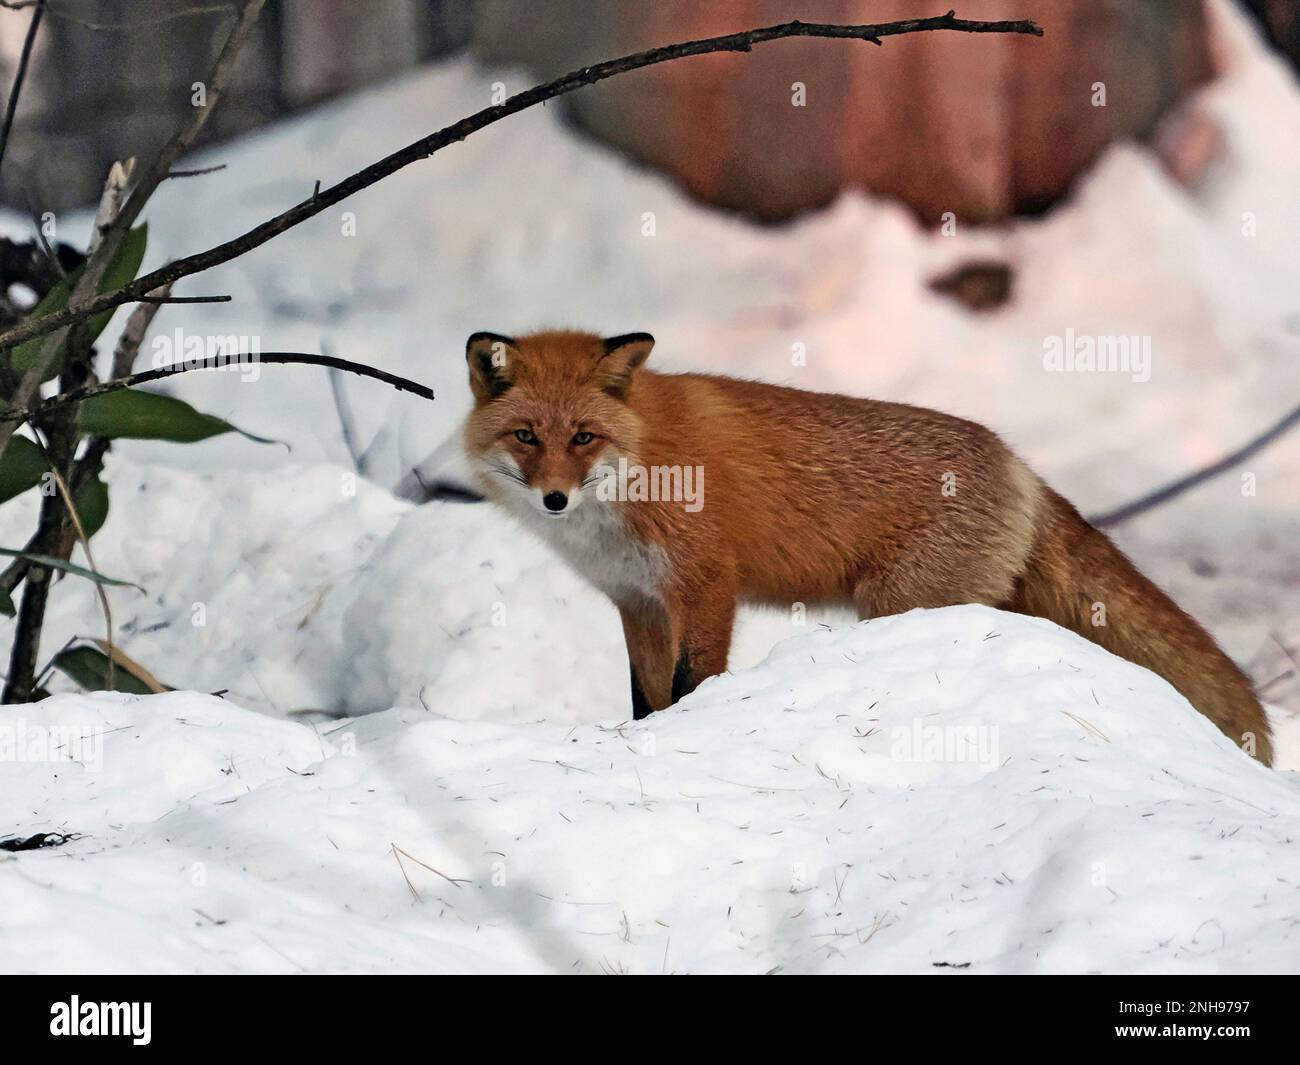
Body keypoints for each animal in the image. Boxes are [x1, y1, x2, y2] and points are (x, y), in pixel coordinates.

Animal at [460, 329, 1273, 765]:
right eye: (526, 436)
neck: (639, 469)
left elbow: (692, 686)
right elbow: (645, 699)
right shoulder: (637, 600)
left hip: (900, 603)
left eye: (583, 438)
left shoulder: (706, 584)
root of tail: (1019, 464)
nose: (554, 498)